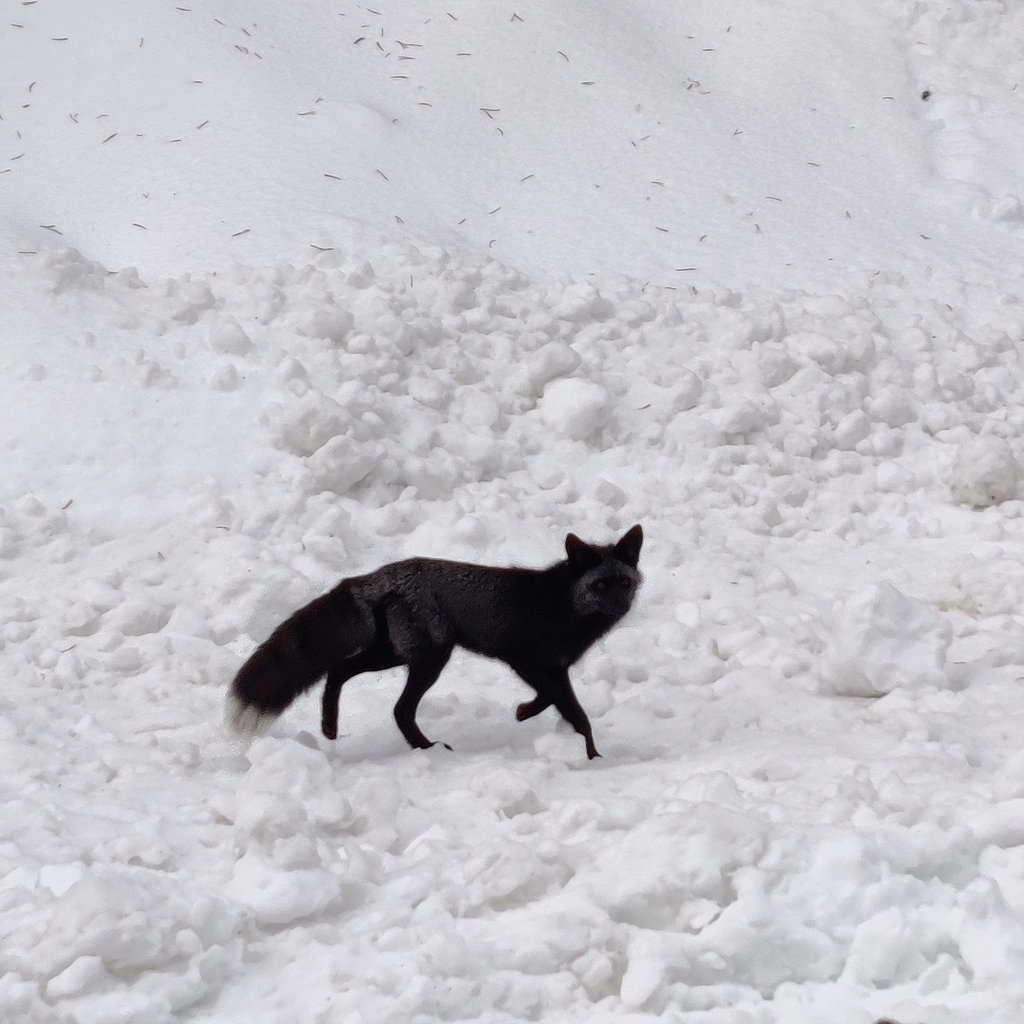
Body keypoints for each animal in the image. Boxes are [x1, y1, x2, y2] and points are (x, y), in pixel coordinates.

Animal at [226, 524, 643, 759]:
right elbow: (571, 710)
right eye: (599, 585)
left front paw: (536, 719)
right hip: (430, 658)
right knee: (398, 709)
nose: (621, 606)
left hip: (395, 654)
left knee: (339, 670)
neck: (563, 605)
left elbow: (561, 705)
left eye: (624, 581)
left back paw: (330, 726)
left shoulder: (552, 667)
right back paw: (425, 749)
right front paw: (592, 757)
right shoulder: (525, 659)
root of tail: (379, 574)